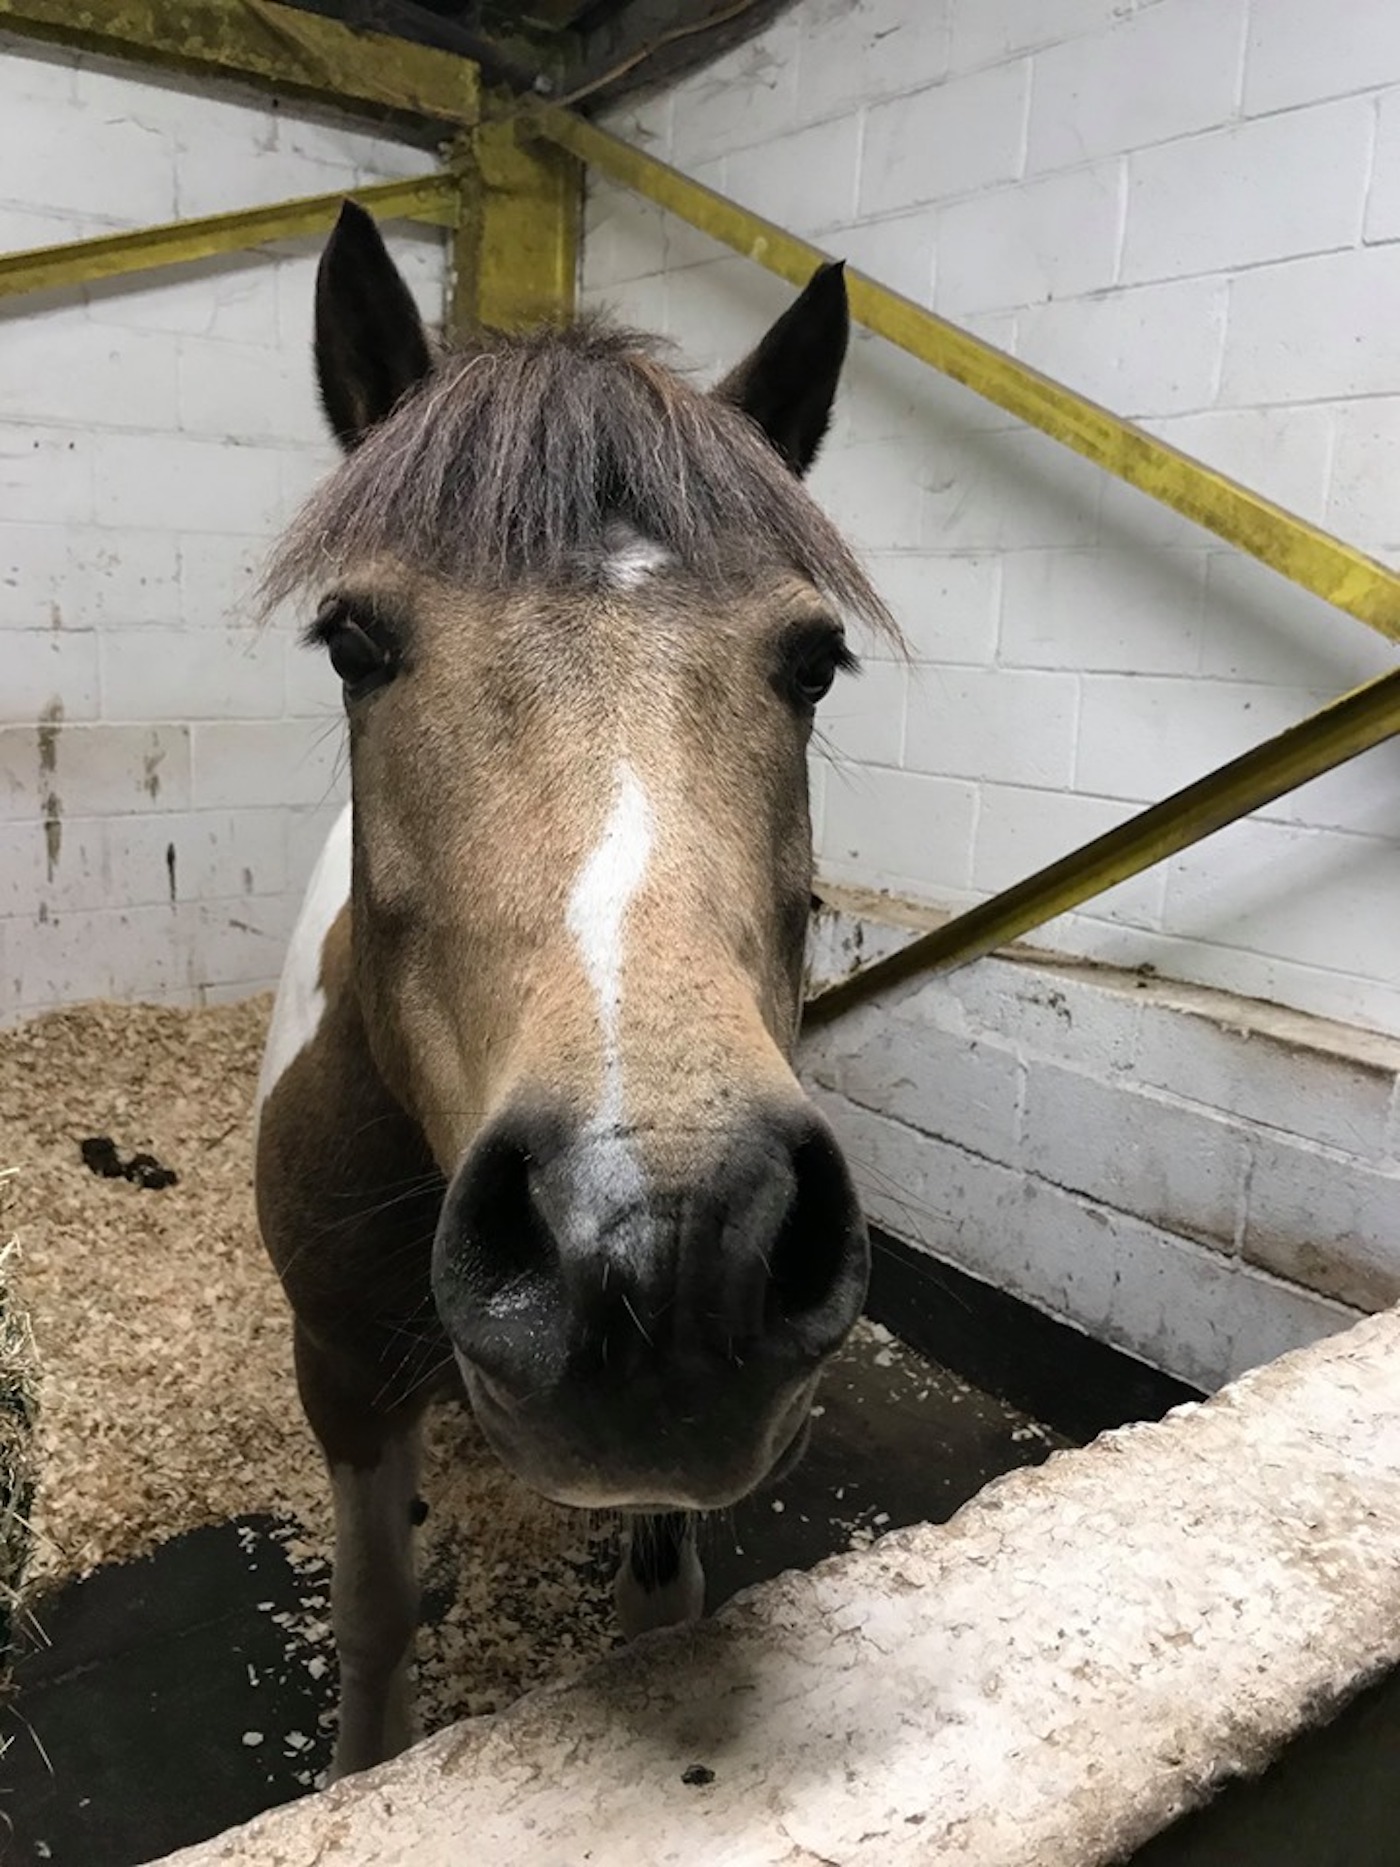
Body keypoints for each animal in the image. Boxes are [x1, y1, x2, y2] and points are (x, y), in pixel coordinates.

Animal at [253, 199, 892, 1779]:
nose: (672, 1240)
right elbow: (374, 1613)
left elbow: (661, 1607)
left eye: (814, 661)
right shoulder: (339, 1375)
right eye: (355, 641)